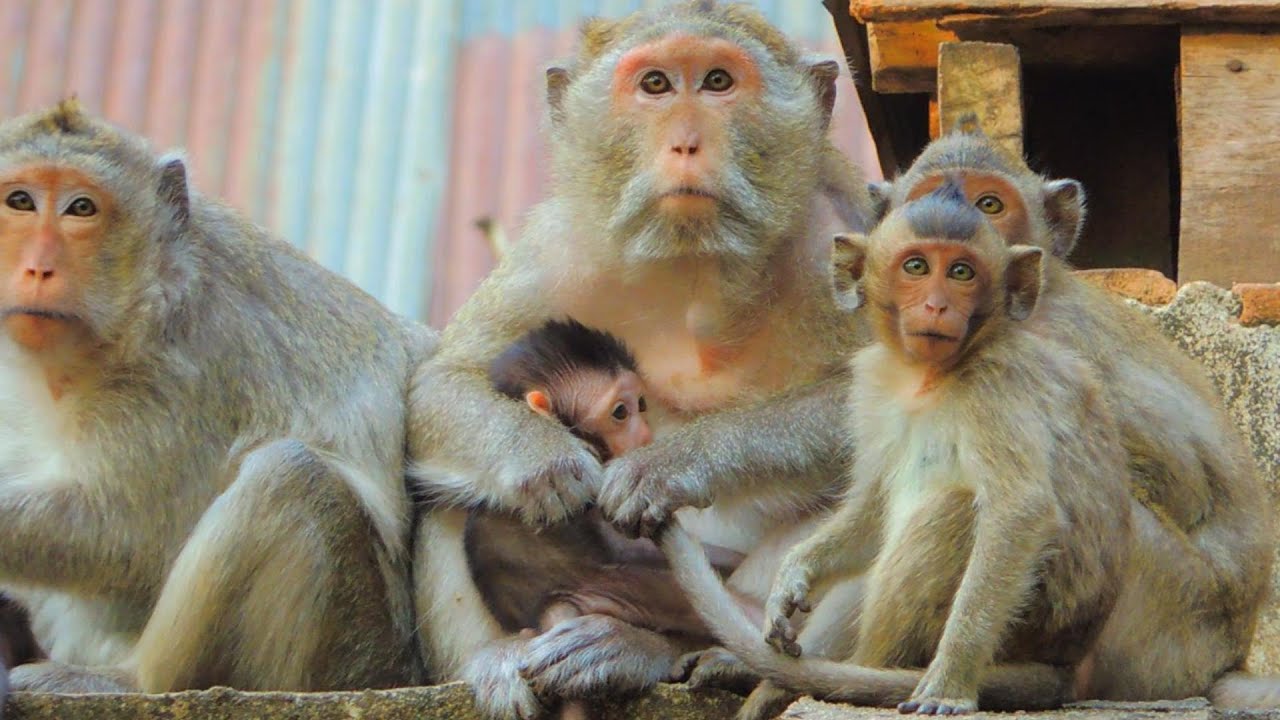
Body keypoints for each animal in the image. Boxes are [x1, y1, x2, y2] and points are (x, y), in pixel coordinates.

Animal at [0, 100, 431, 694]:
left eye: (80, 208)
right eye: (19, 201)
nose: (37, 268)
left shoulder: (180, 380)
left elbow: (126, 536)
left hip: (353, 660)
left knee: (292, 476)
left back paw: (131, 682)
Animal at [405, 3, 878, 718]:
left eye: (717, 82)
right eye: (655, 85)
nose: (686, 143)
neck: (693, 259)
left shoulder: (838, 239)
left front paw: (670, 466)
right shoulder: (558, 243)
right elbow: (443, 383)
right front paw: (541, 459)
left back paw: (671, 651)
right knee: (452, 485)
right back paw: (503, 657)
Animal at [661, 182, 1133, 715]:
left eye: (962, 272)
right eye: (916, 267)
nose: (936, 306)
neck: (928, 376)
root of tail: (1064, 664)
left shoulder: (998, 385)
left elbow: (1020, 510)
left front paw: (949, 681)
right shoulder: (871, 382)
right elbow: (872, 511)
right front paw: (794, 574)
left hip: (1029, 624)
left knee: (953, 511)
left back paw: (849, 676)